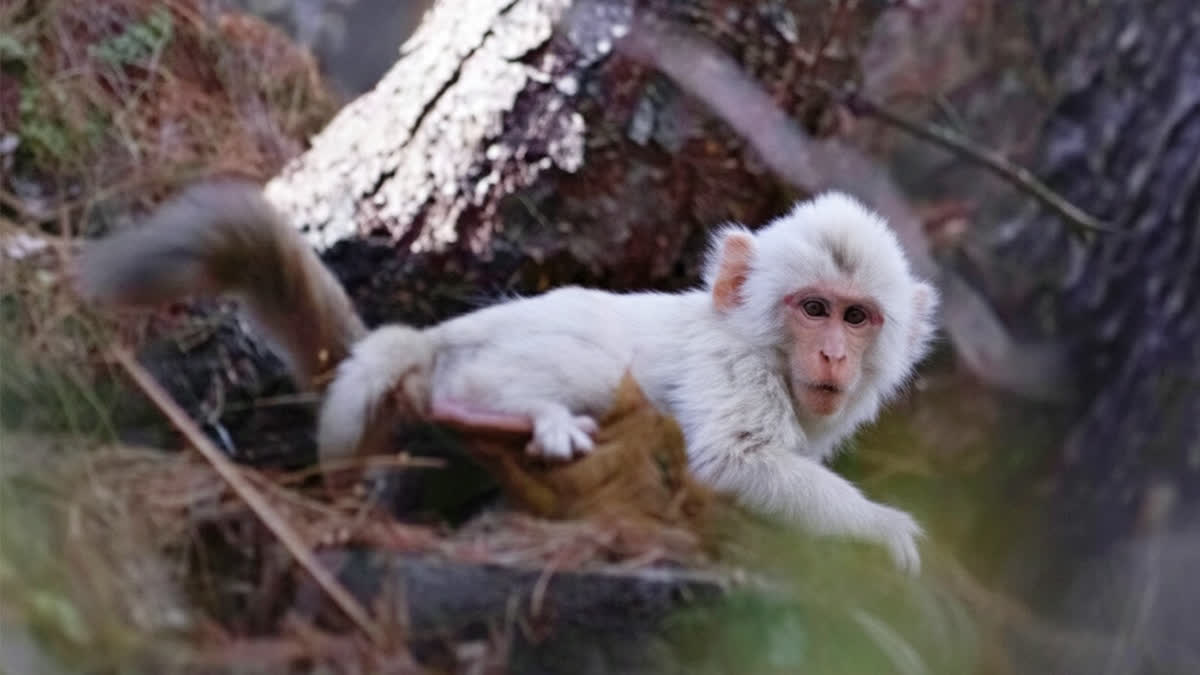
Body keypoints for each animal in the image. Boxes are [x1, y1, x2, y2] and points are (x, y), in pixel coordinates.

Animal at [78, 180, 939, 574]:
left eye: (858, 318)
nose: (833, 356)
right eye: (814, 308)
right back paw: (510, 414)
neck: (759, 344)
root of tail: (440, 335)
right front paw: (879, 525)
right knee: (589, 368)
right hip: (489, 360)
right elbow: (732, 457)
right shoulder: (735, 368)